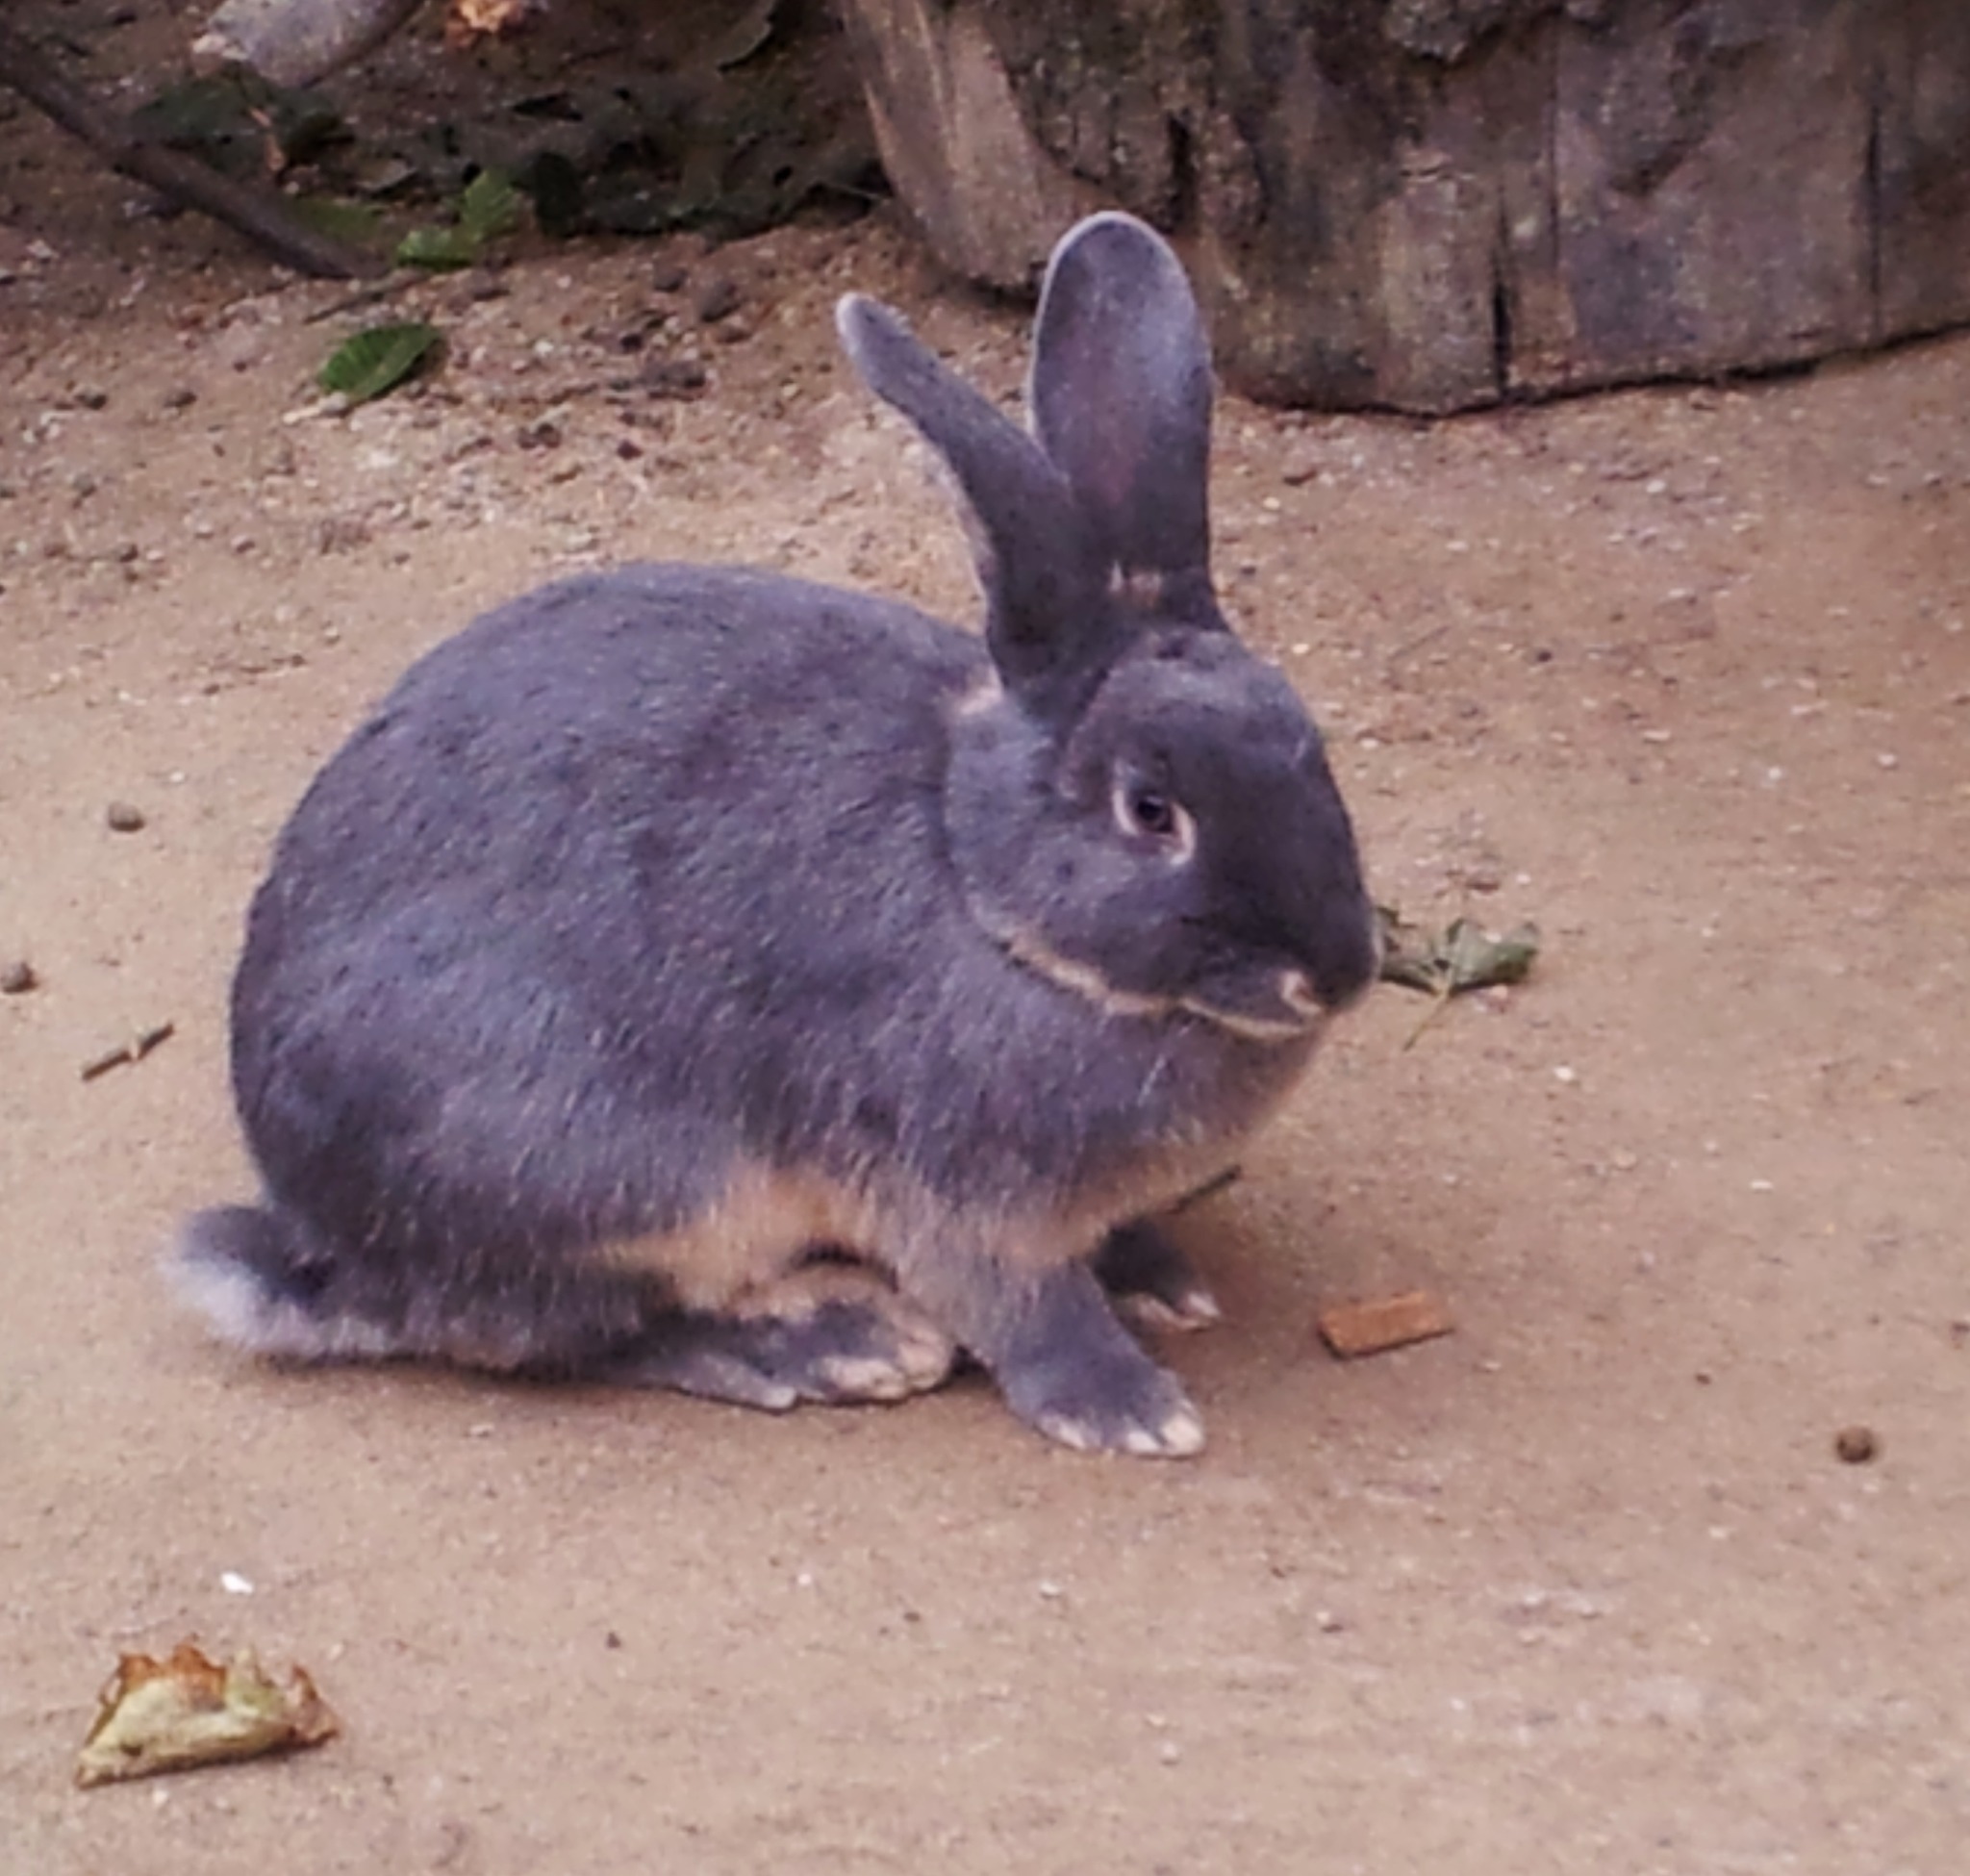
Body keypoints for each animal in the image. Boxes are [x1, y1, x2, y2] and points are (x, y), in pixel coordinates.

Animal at [171, 211, 1378, 1457]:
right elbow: (1023, 1304)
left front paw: (1163, 1282)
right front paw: (1127, 1411)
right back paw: (838, 1343)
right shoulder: (955, 1191)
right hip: (614, 1176)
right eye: (1149, 810)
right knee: (571, 1333)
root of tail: (330, 1253)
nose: (1333, 975)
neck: (983, 890)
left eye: (1309, 744)